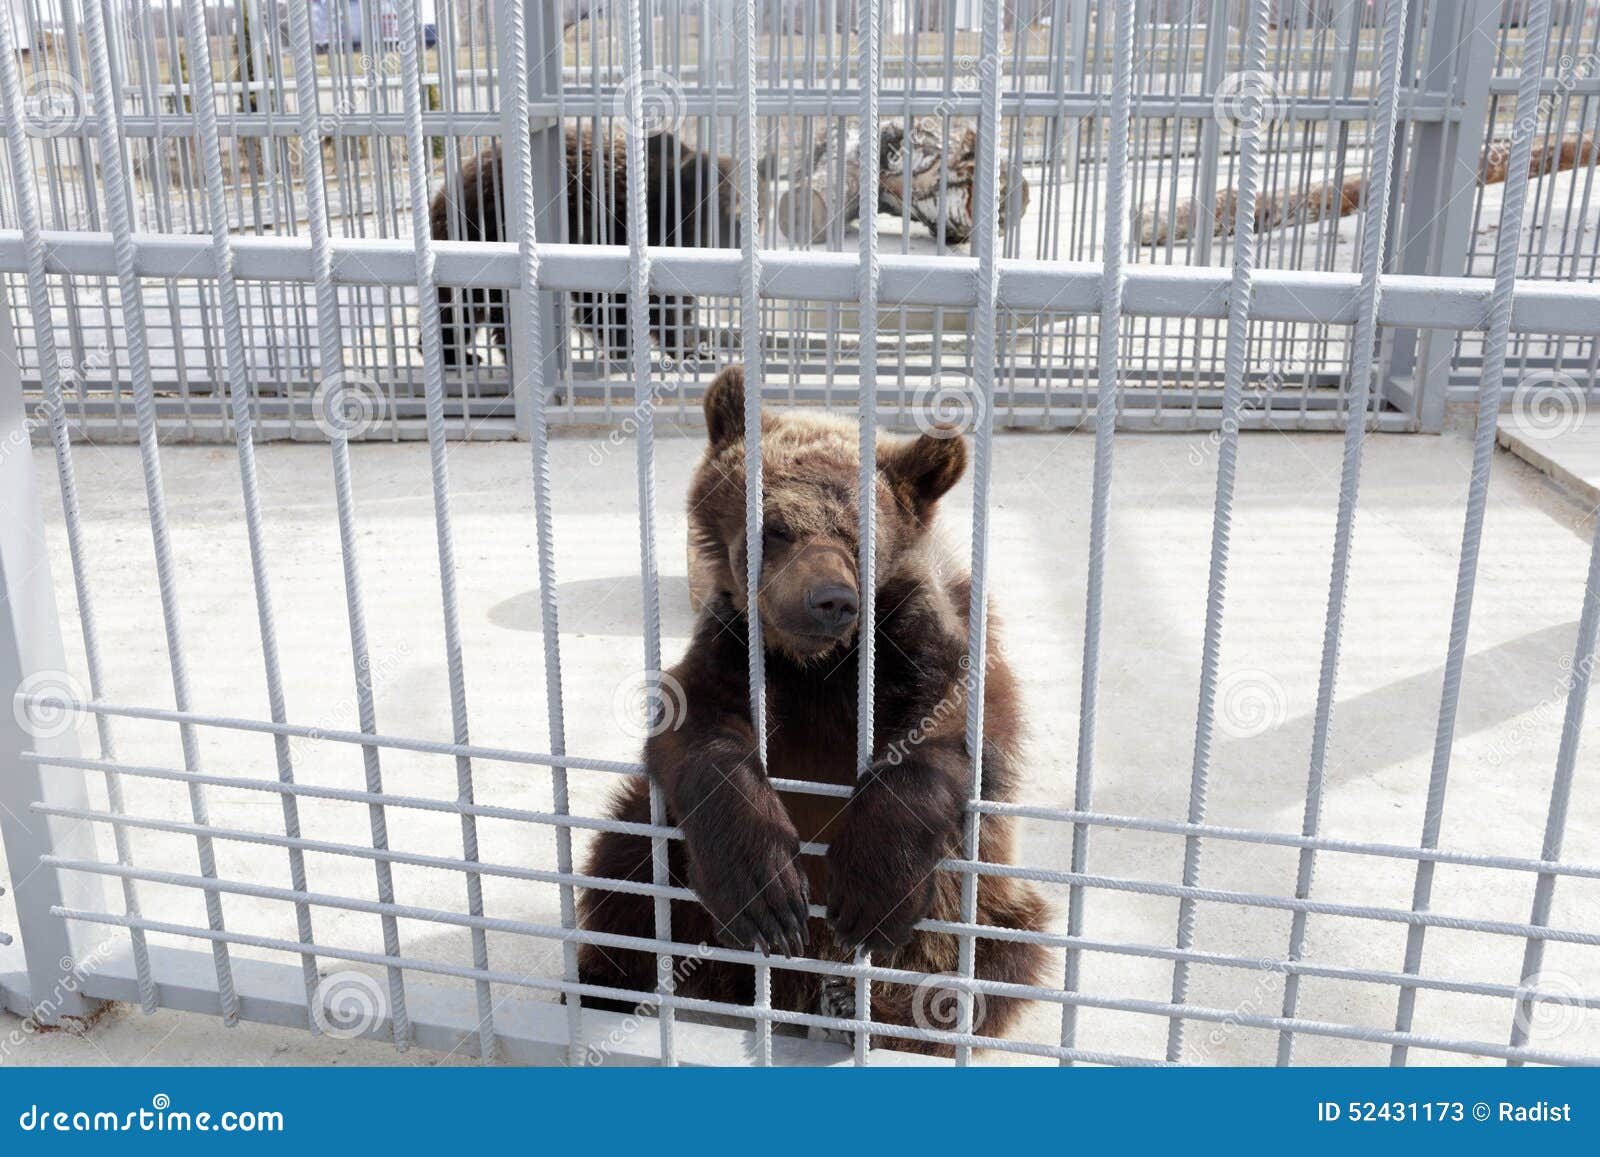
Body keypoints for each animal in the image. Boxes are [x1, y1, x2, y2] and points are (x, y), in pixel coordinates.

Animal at [575, 365, 1050, 1056]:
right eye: (774, 527)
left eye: (861, 536)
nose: (829, 599)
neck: (818, 667)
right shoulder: (732, 650)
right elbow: (700, 736)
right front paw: (765, 892)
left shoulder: (924, 645)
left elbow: (948, 733)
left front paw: (871, 888)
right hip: (663, 861)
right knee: (625, 867)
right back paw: (603, 985)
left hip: (981, 901)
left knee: (989, 964)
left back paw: (863, 1009)